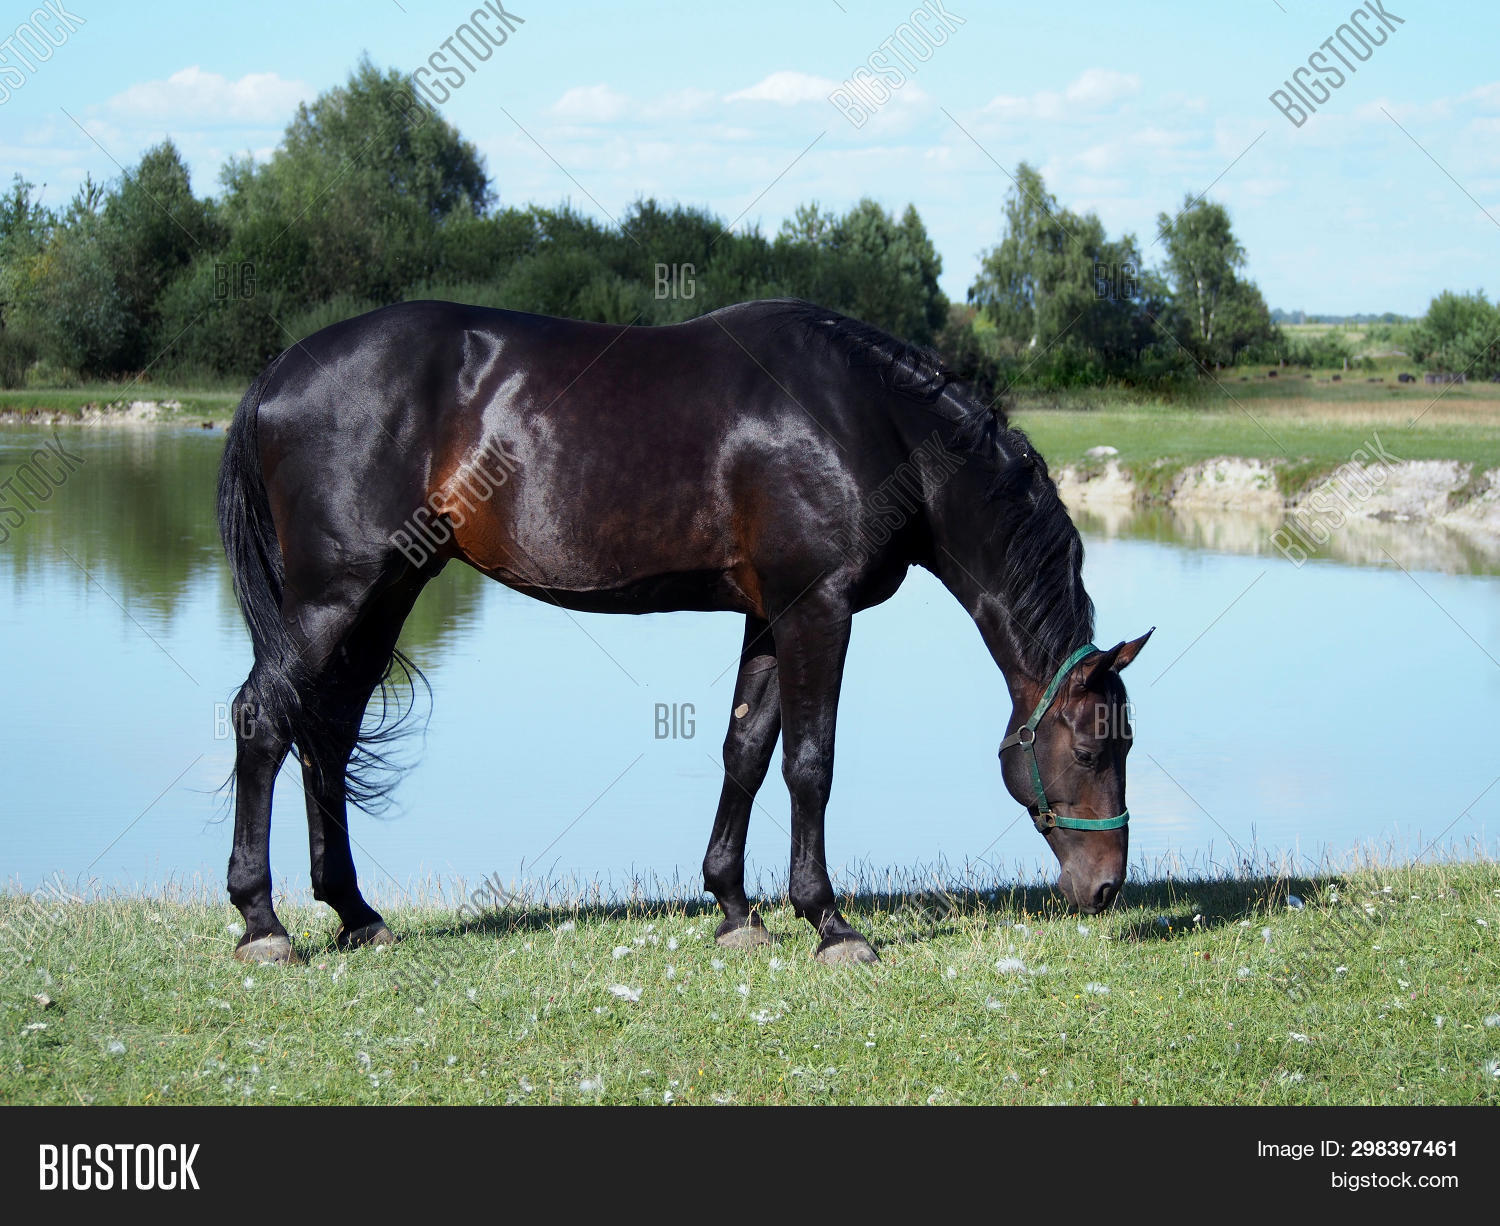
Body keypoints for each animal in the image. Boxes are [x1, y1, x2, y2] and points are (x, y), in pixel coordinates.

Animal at [217, 297, 1152, 965]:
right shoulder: (818, 608)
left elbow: (746, 750)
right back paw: (264, 923)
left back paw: (354, 913)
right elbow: (810, 763)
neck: (870, 421)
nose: (1107, 888)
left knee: (328, 735)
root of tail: (277, 374)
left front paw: (736, 910)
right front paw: (830, 924)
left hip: (386, 593)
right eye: (1094, 746)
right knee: (264, 721)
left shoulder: (770, 616)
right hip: (335, 596)